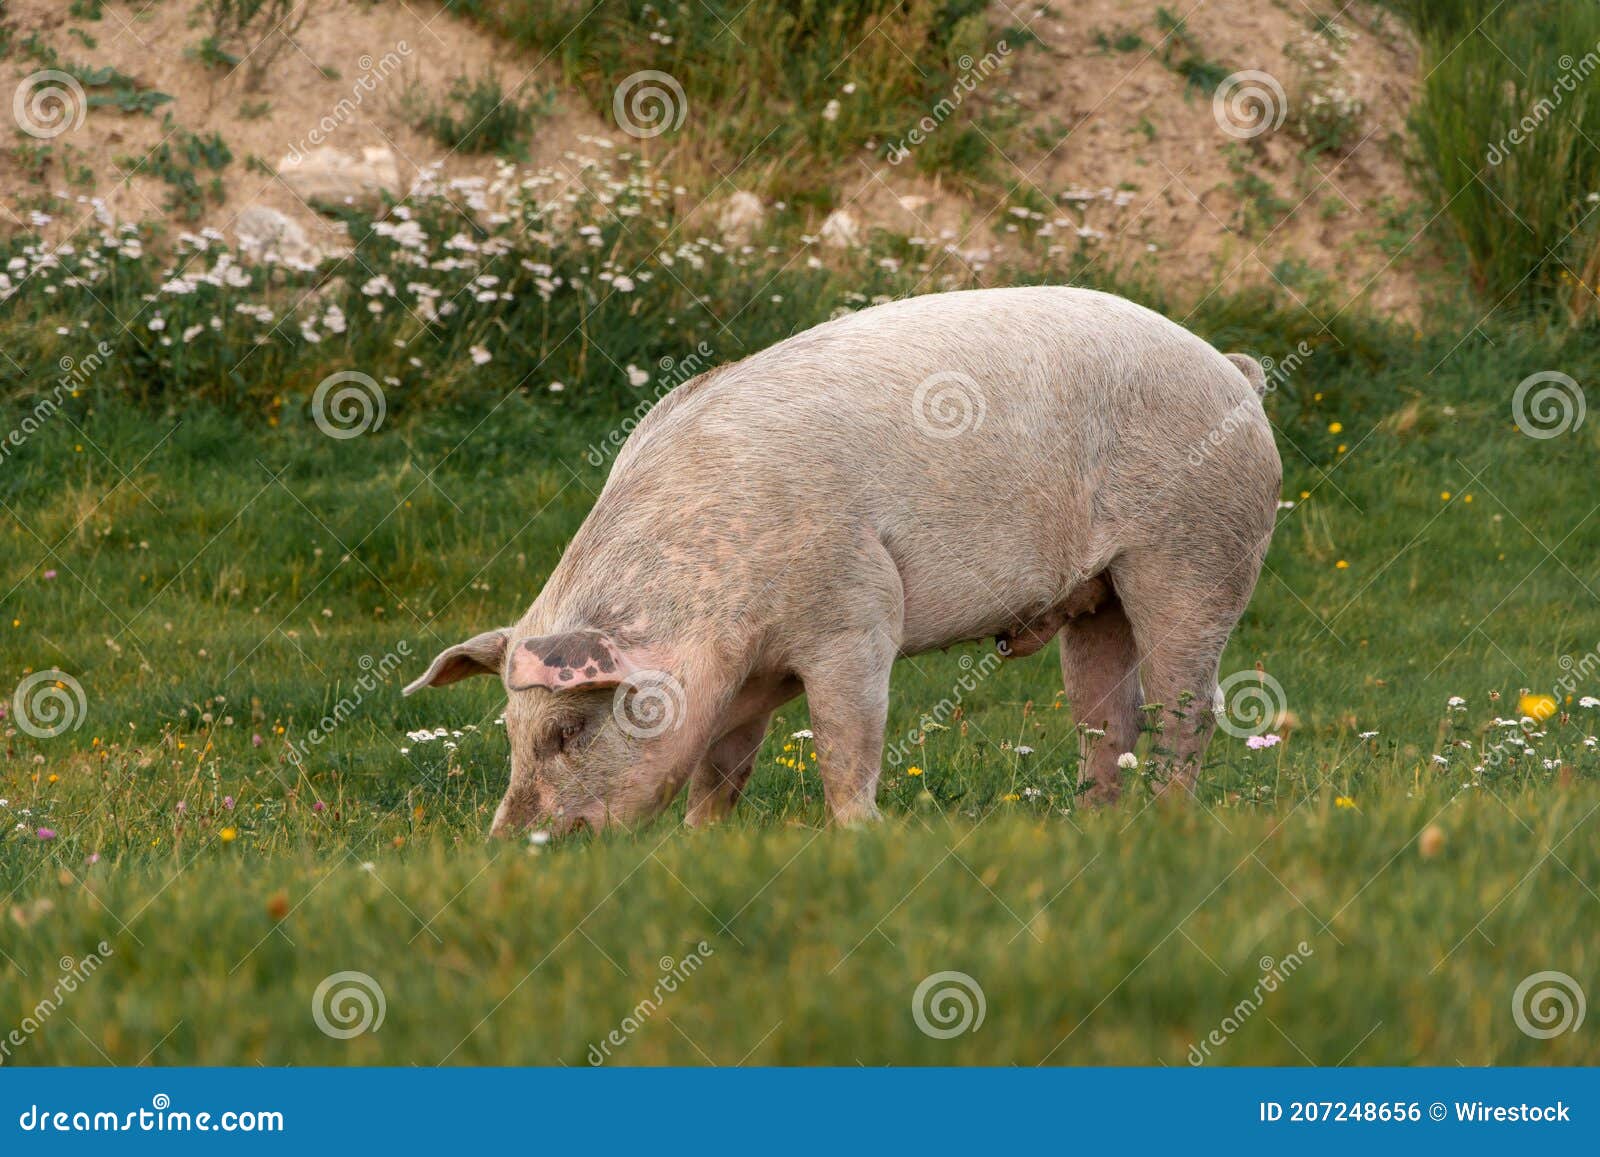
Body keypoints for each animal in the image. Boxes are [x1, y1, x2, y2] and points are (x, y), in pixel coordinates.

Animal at [404, 286, 1281, 836]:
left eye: (568, 730)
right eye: (511, 731)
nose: (505, 842)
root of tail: (1233, 372)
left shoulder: (855, 616)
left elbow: (844, 738)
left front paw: (859, 834)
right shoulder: (742, 680)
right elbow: (722, 767)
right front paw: (701, 838)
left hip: (1193, 552)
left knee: (1188, 709)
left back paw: (1166, 820)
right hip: (1099, 596)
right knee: (1108, 718)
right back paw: (1090, 824)